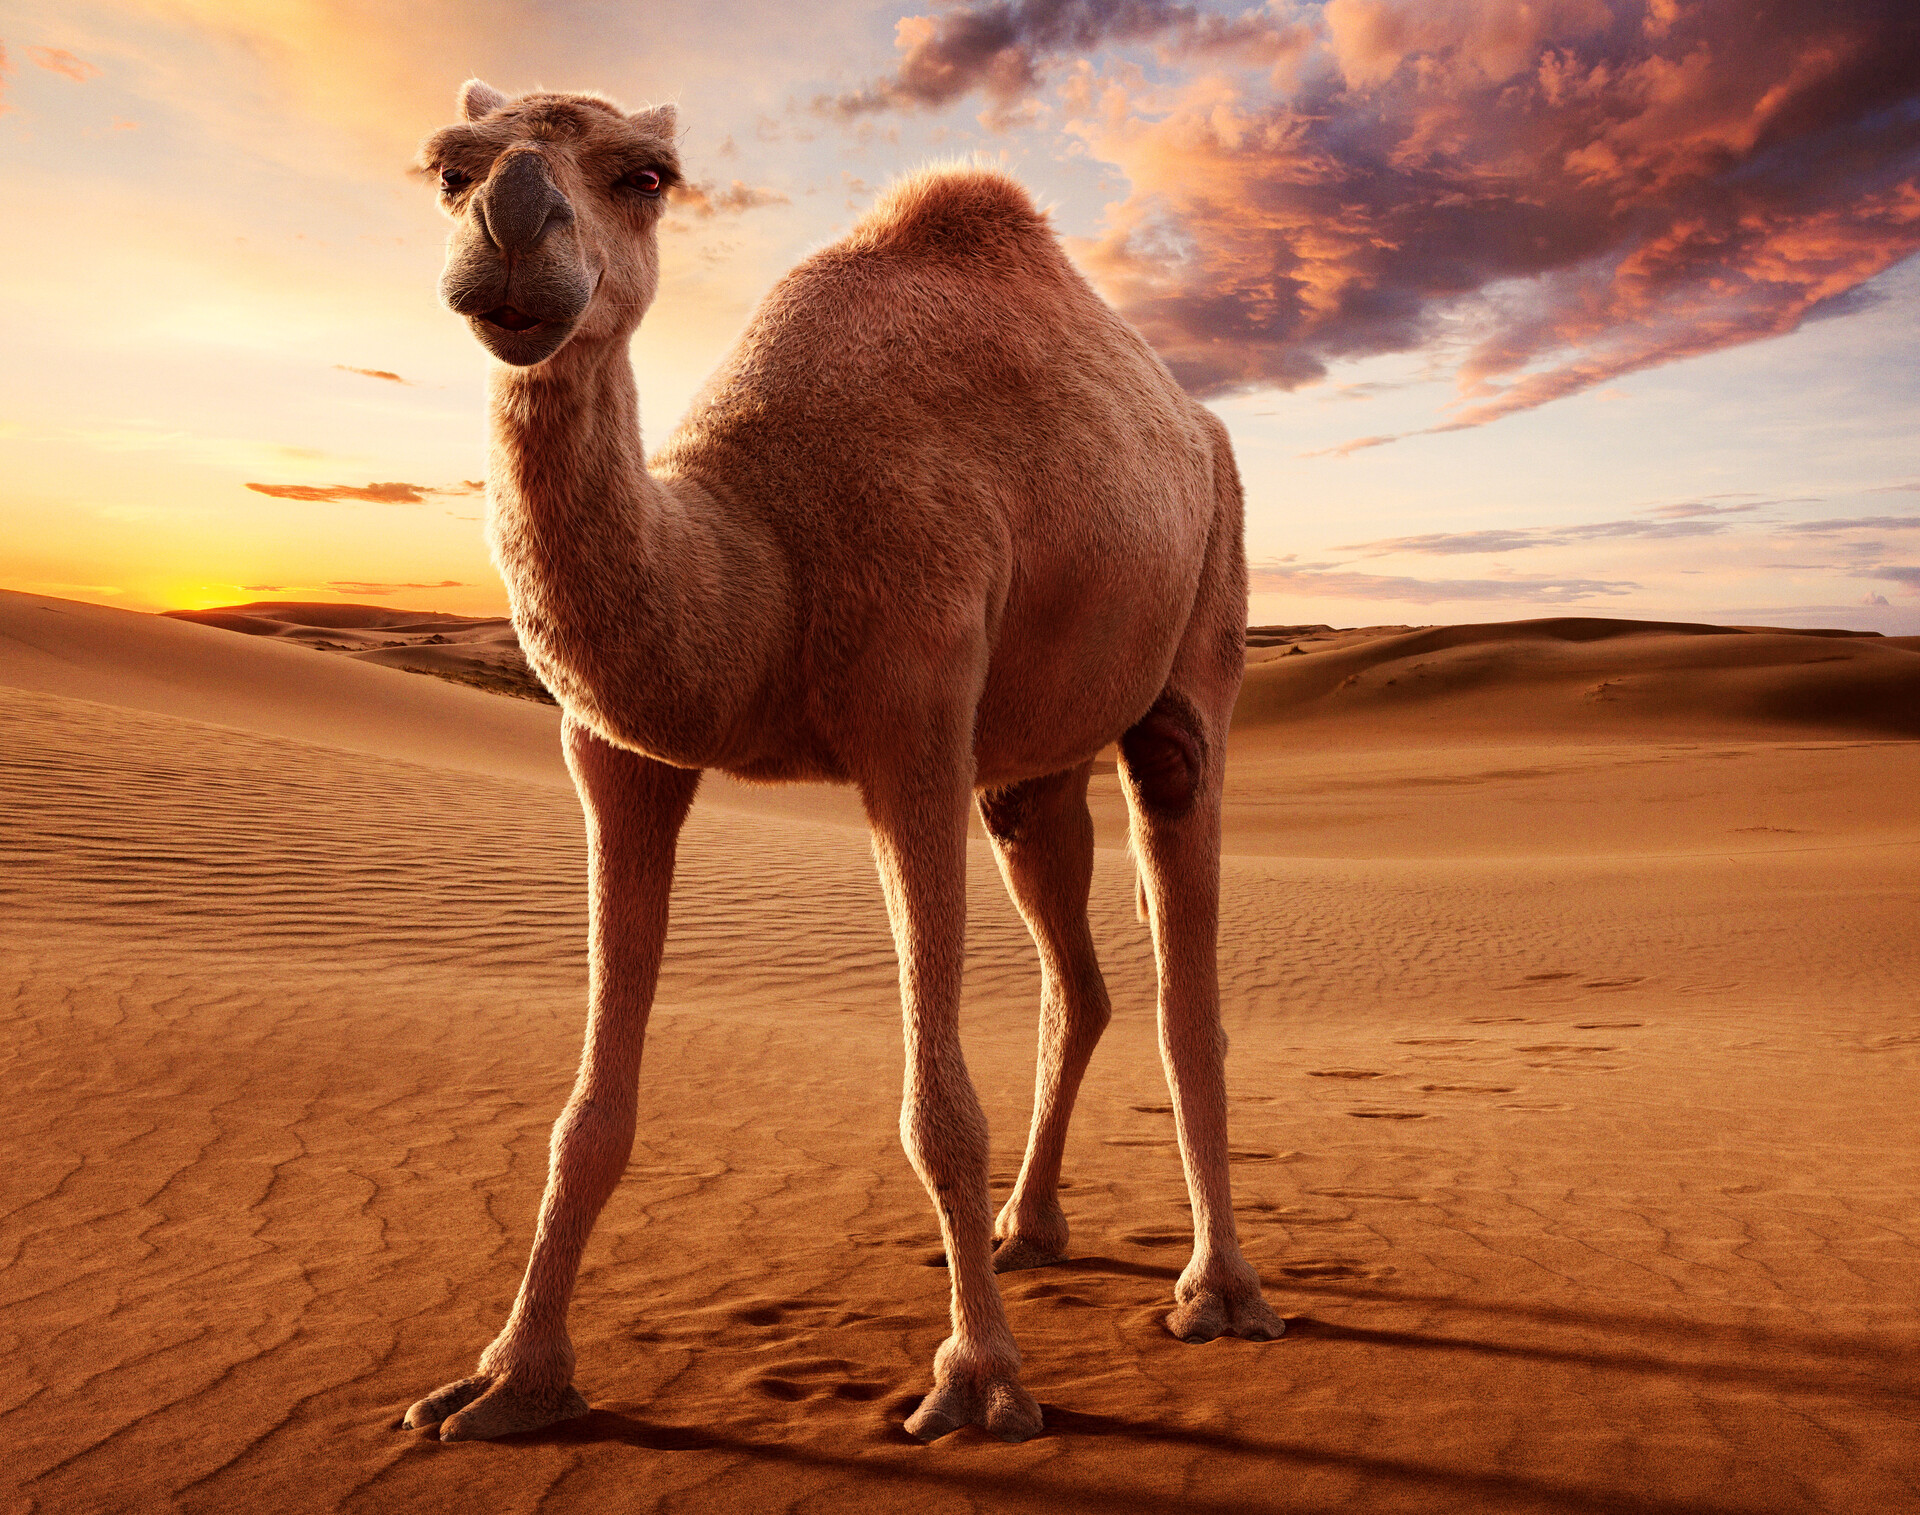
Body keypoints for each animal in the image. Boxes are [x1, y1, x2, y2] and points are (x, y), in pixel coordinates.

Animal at [402, 79, 1283, 1446]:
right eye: (447, 167)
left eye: (648, 175)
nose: (513, 225)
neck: (764, 557)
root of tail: (1194, 418)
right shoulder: (617, 754)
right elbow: (590, 1111)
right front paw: (511, 1380)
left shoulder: (914, 726)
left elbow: (937, 1106)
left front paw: (980, 1380)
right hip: (1028, 765)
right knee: (1074, 971)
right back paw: (1029, 1230)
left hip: (1207, 604)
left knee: (1185, 943)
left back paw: (1219, 1292)